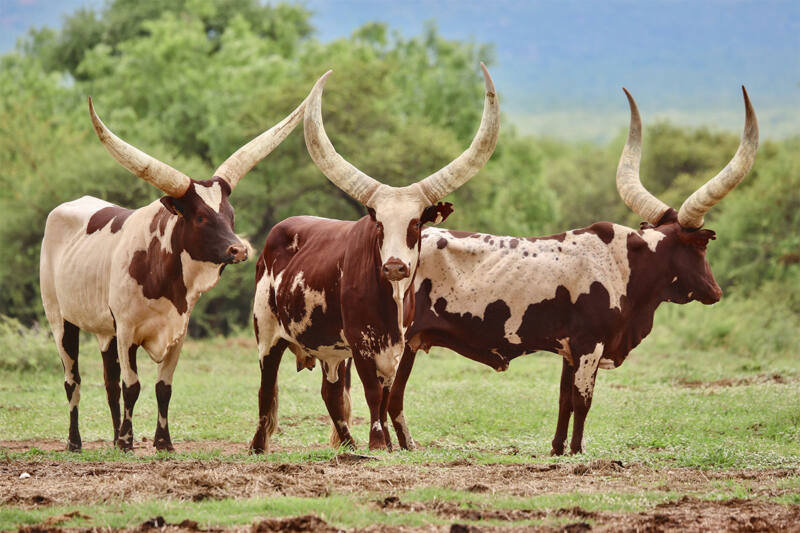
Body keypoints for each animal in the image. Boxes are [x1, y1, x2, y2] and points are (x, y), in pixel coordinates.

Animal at [40, 89, 311, 452]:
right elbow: (132, 386)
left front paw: (162, 442)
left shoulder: (176, 330)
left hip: (104, 330)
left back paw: (111, 437)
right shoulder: (127, 330)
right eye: (200, 217)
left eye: (230, 214)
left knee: (109, 383)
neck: (162, 273)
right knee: (73, 380)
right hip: (60, 319)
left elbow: (162, 388)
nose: (239, 249)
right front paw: (127, 442)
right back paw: (75, 442)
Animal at [249, 64, 500, 453]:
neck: (391, 301)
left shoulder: (400, 346)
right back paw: (259, 445)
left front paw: (387, 444)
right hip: (267, 333)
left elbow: (386, 395)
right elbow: (371, 394)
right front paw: (379, 443)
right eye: (379, 224)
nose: (395, 266)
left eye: (416, 223)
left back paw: (348, 444)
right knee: (266, 390)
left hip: (332, 351)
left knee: (331, 393)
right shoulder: (361, 342)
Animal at [375, 87, 758, 455]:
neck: (622, 264)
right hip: (402, 343)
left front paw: (558, 449)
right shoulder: (590, 345)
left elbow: (565, 402)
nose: (716, 291)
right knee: (388, 398)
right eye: (703, 244)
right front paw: (576, 451)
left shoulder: (569, 351)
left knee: (390, 399)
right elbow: (583, 401)